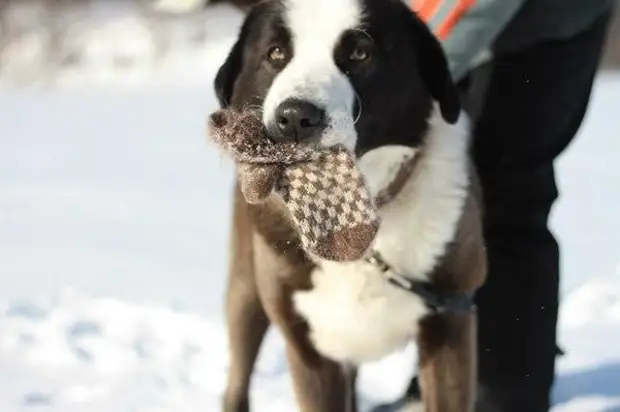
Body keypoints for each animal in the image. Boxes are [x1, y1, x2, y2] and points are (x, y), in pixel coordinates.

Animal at [212, 0, 484, 412]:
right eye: (275, 54)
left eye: (359, 54)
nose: (295, 117)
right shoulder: (308, 347)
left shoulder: (449, 324)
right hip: (246, 292)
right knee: (237, 377)